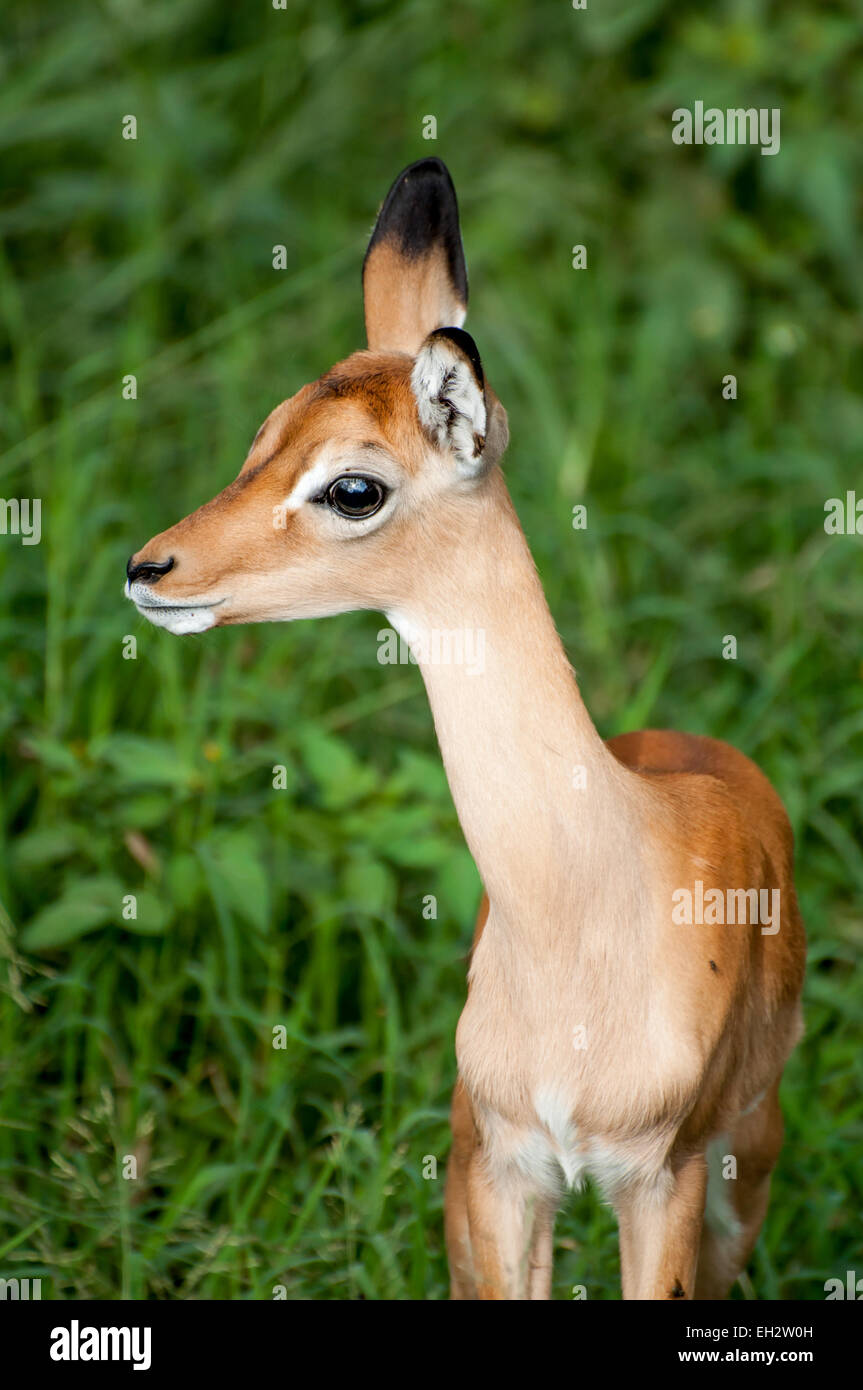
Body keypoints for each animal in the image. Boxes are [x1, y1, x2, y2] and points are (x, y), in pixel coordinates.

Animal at [125, 158, 806, 1300]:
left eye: (352, 485)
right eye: (264, 437)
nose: (149, 567)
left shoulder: (658, 1176)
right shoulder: (504, 1163)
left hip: (740, 1161)